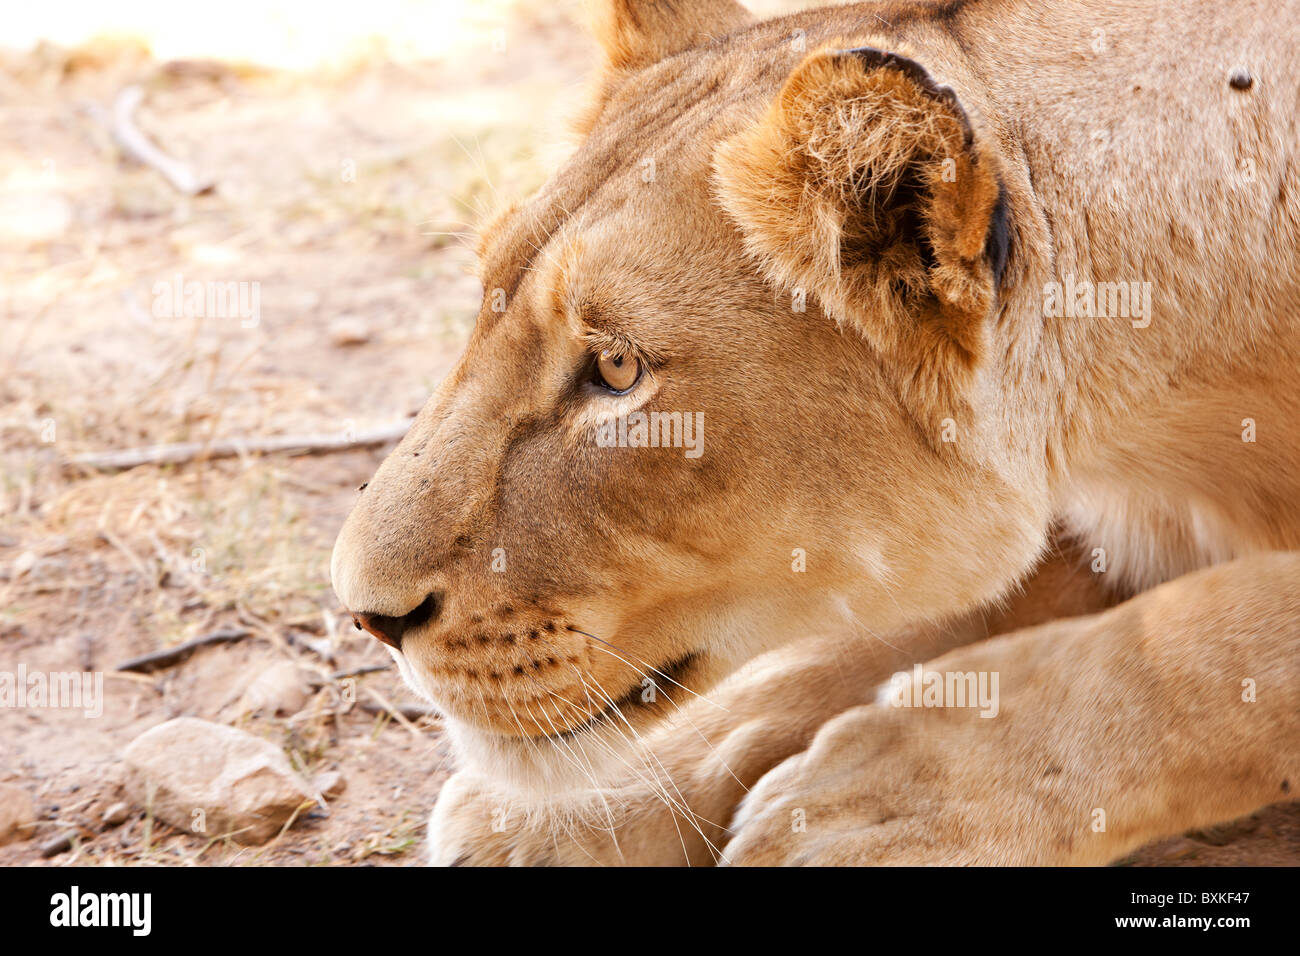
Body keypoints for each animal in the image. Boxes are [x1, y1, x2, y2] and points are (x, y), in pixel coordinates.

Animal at [330, 0, 1300, 865]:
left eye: (616, 369)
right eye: (481, 300)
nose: (366, 617)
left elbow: (1212, 634)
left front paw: (884, 801)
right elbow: (862, 639)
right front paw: (580, 805)